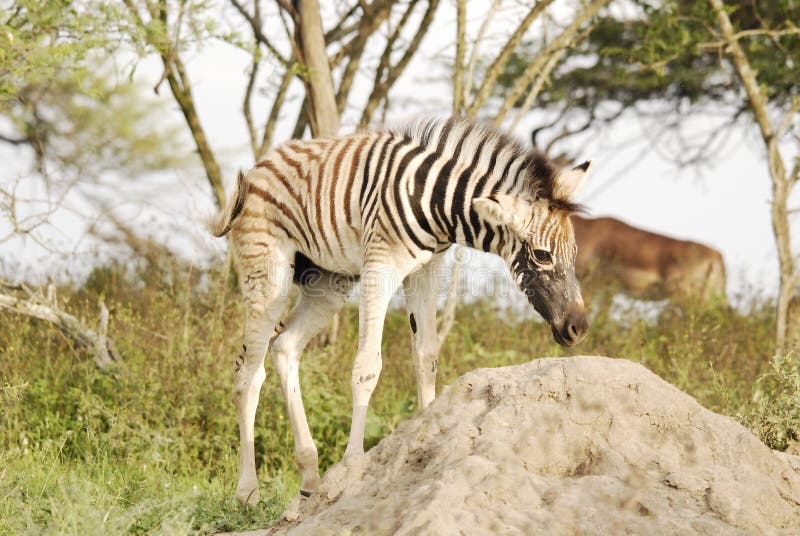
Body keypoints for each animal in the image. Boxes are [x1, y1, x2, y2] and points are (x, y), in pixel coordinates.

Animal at [211, 117, 591, 506]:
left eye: (575, 253)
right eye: (542, 255)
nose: (579, 327)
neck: (437, 204)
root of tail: (260, 165)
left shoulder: (426, 272)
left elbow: (426, 357)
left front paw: (424, 439)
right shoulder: (380, 267)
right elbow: (367, 367)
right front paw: (352, 465)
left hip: (328, 284)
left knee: (285, 346)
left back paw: (311, 479)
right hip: (268, 276)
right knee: (247, 377)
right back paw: (248, 491)